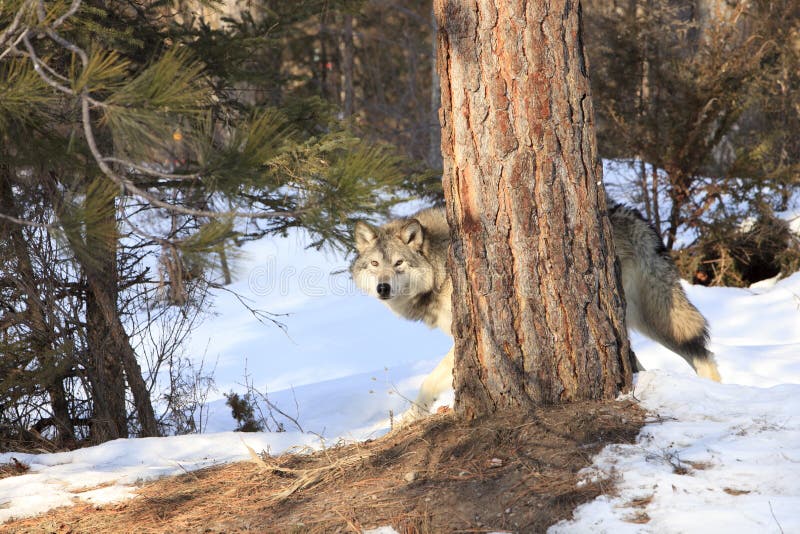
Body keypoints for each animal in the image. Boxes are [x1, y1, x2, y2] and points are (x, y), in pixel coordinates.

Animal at [351, 199, 721, 420]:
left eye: (399, 263)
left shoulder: (467, 336)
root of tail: (635, 216)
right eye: (375, 264)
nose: (383, 288)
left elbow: (427, 383)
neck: (439, 266)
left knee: (699, 351)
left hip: (648, 316)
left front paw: (409, 419)